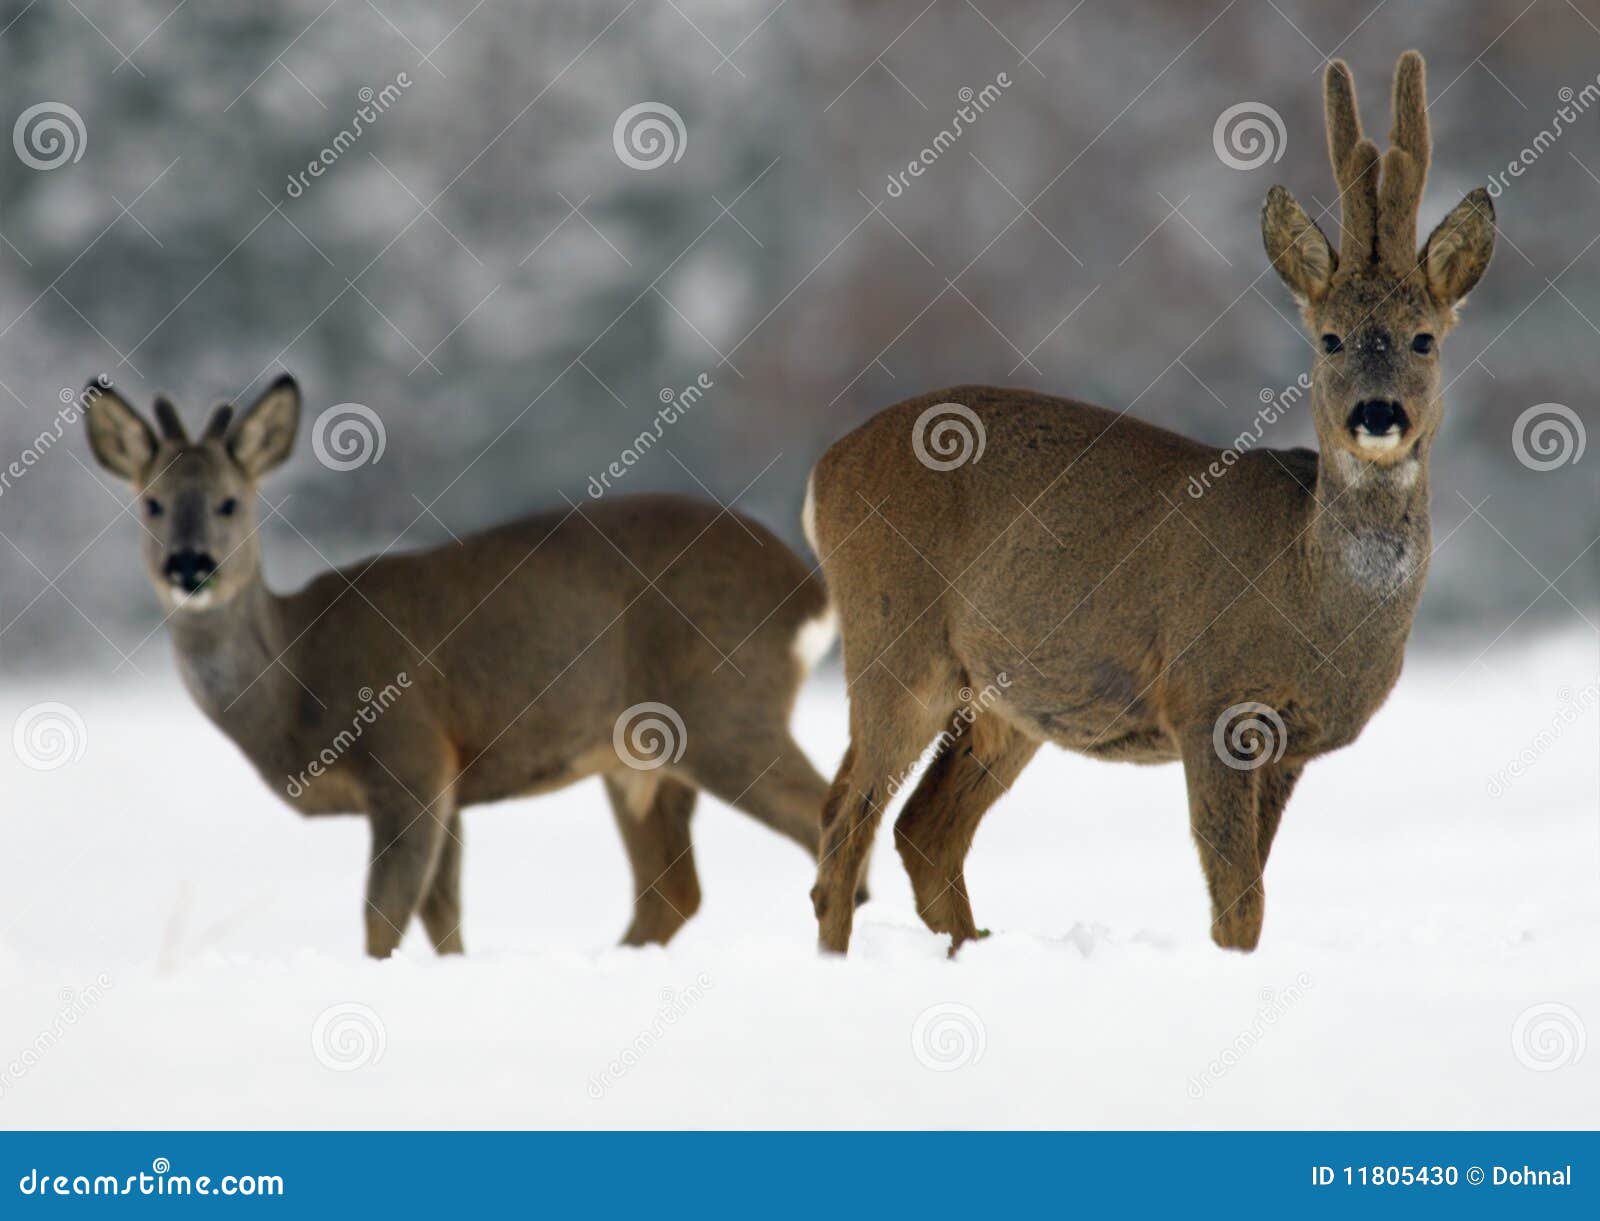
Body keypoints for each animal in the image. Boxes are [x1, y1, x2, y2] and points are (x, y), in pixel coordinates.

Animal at [84, 375, 843, 958]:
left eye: (230, 502)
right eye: (152, 503)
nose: (190, 565)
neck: (296, 678)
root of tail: (809, 590)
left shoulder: (411, 755)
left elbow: (383, 916)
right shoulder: (448, 779)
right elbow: (441, 915)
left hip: (724, 709)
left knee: (821, 822)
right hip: (642, 755)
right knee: (674, 890)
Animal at [804, 52, 1495, 954]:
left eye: (1424, 339)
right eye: (1330, 338)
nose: (1377, 415)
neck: (1309, 590)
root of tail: (824, 470)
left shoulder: (1293, 742)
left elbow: (1251, 896)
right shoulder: (1210, 701)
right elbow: (1235, 898)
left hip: (1006, 699)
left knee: (922, 826)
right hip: (895, 638)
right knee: (845, 822)